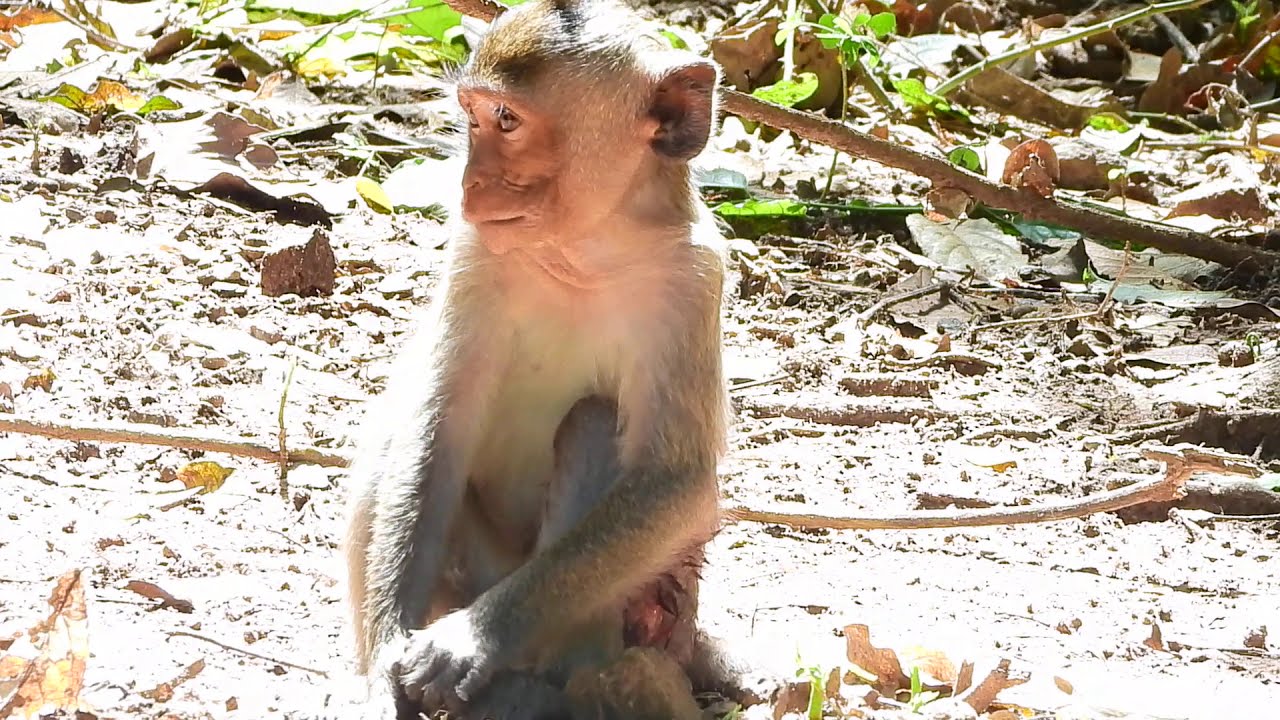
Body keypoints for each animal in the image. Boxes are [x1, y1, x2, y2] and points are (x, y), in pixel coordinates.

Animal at [341, 0, 774, 717]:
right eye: (472, 116)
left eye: (507, 119)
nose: (470, 183)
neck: (583, 251)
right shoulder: (475, 253)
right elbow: (438, 430)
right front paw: (379, 675)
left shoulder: (692, 282)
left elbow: (676, 482)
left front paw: (470, 640)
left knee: (594, 422)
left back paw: (545, 680)